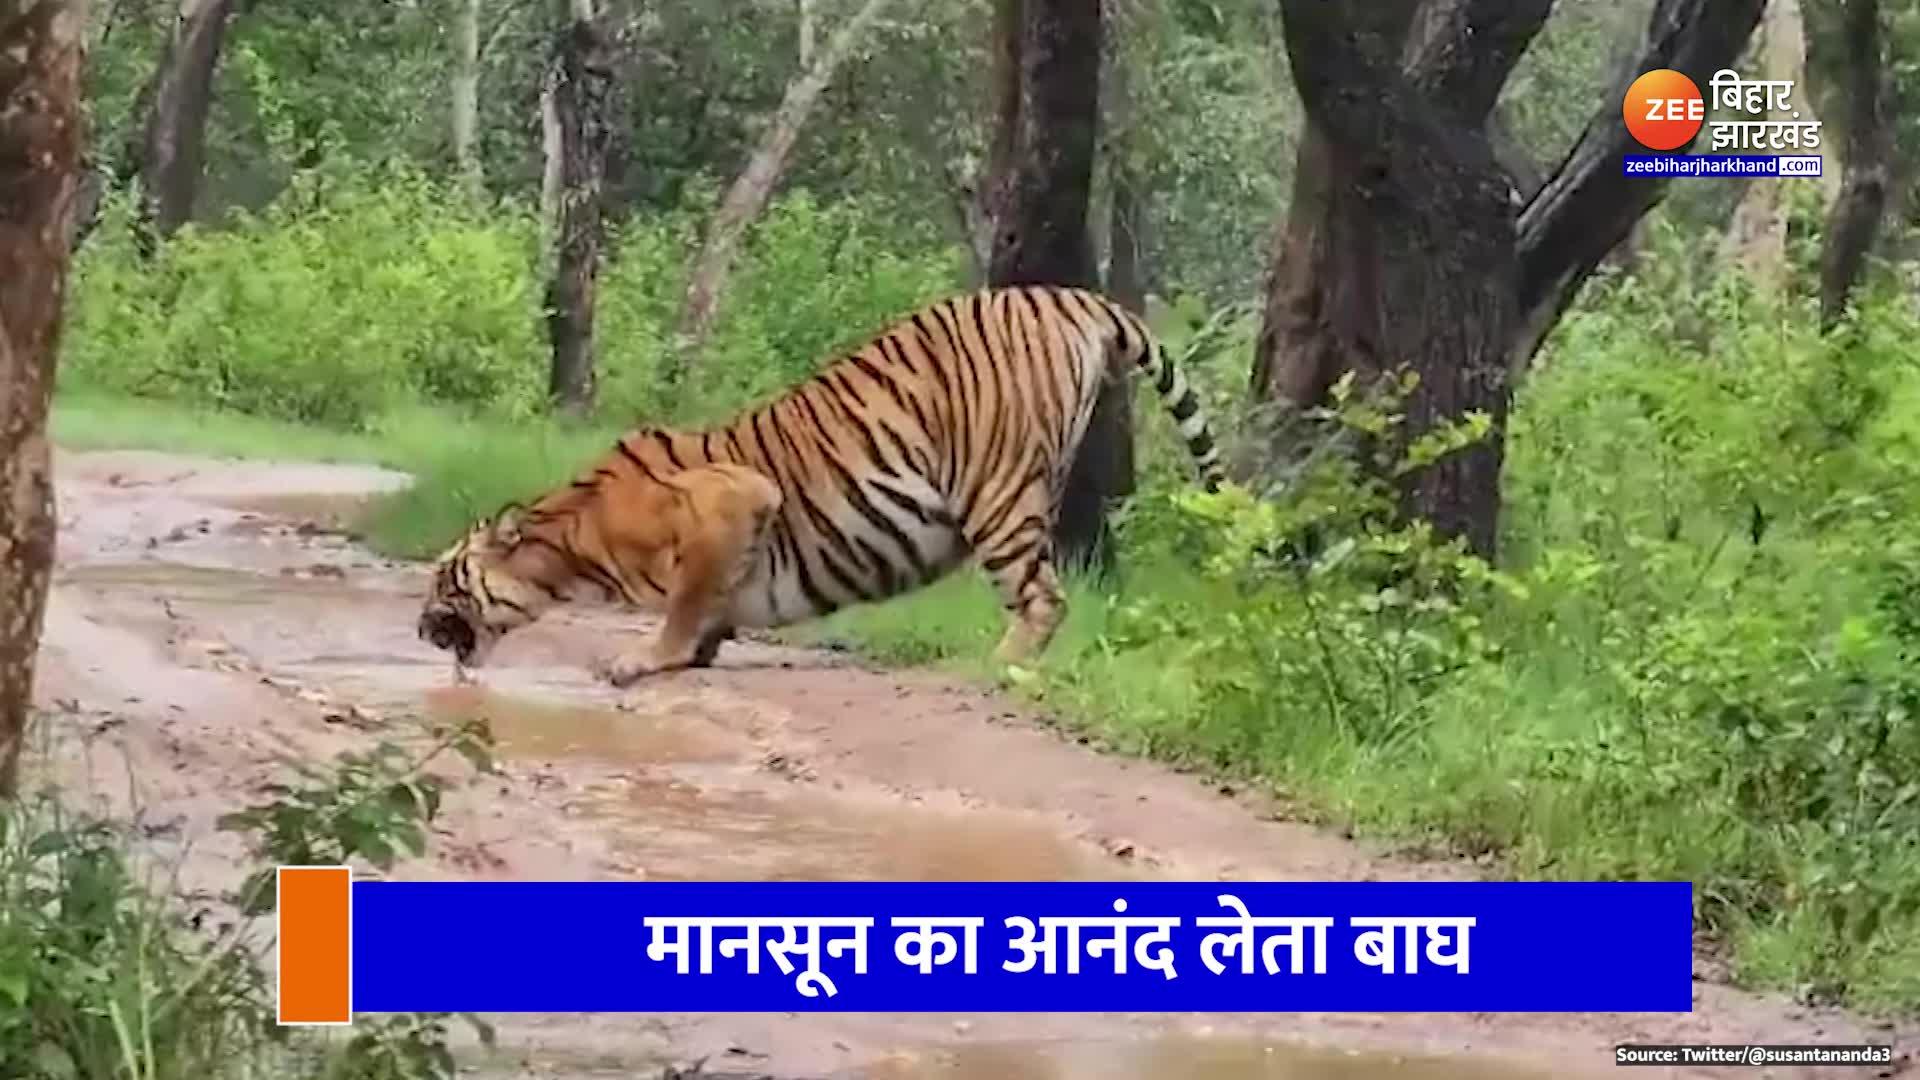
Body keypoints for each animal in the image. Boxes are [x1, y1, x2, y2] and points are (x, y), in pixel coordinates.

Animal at [416, 283, 1228, 686]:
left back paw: (994, 666)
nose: (420, 629)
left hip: (998, 492)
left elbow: (685, 603)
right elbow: (708, 606)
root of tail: (1069, 296)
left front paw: (645, 660)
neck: (570, 546)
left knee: (1043, 597)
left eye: (445, 581)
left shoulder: (730, 500)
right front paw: (696, 649)